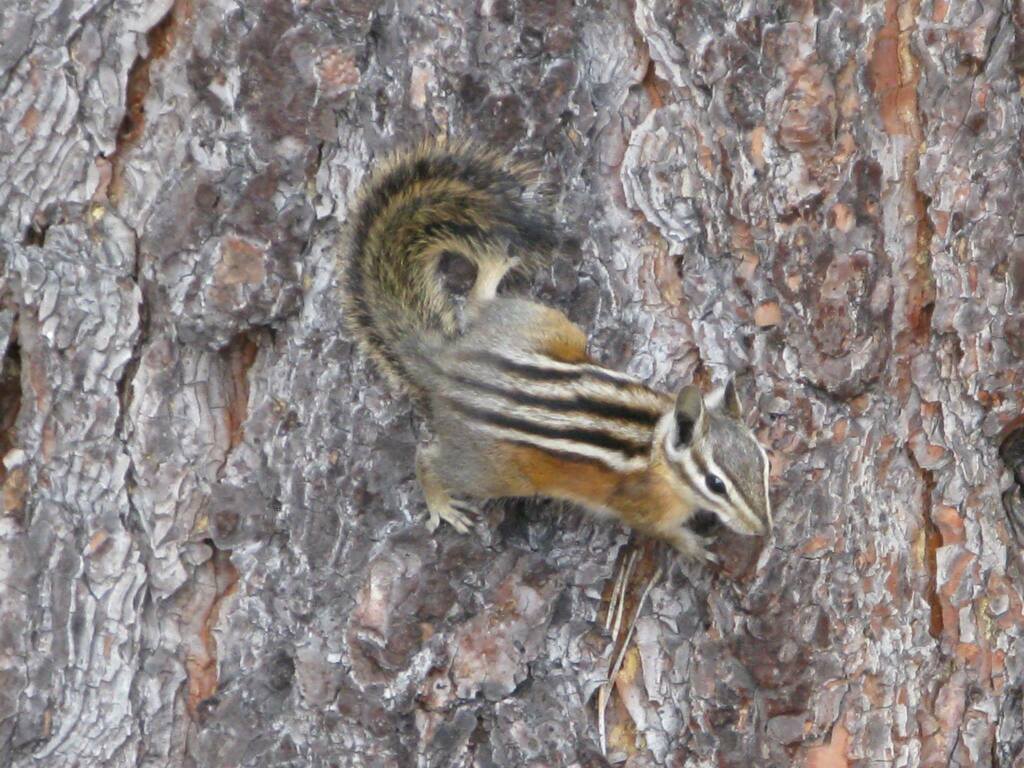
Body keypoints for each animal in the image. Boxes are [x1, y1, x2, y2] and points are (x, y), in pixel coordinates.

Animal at [340, 137, 771, 560]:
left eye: (763, 461)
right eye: (716, 484)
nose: (762, 528)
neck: (657, 450)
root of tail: (450, 366)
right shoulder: (642, 508)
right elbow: (661, 531)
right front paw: (694, 547)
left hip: (542, 325)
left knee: (481, 306)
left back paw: (493, 271)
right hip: (493, 470)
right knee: (430, 459)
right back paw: (440, 502)